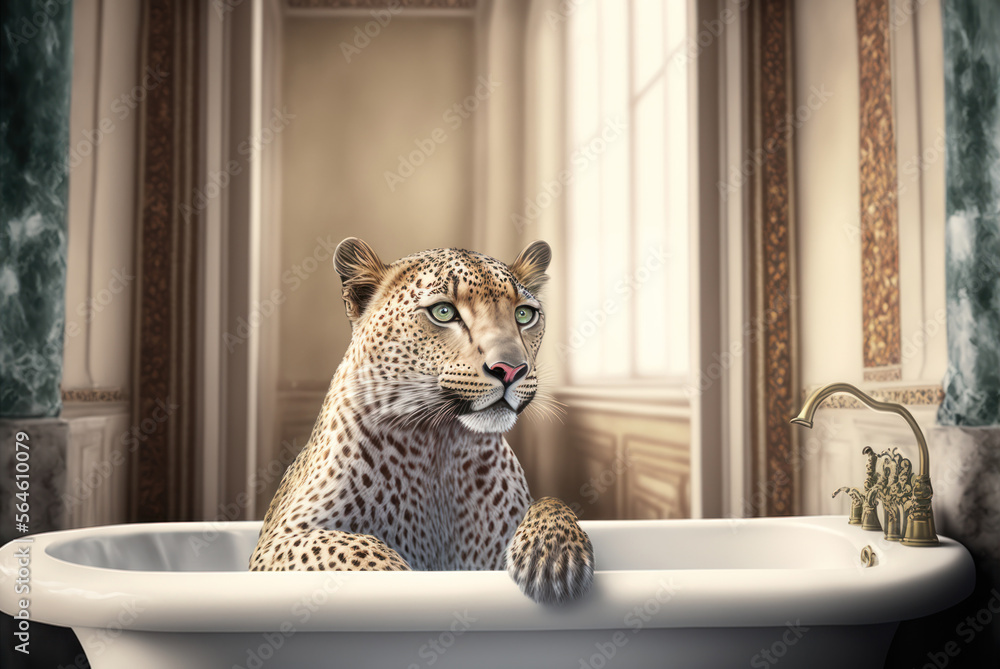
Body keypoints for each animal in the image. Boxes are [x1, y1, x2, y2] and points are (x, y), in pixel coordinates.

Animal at [249, 237, 594, 605]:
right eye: (443, 312)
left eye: (524, 314)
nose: (512, 370)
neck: (437, 444)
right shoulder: (277, 542)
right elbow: (359, 549)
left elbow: (549, 502)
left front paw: (554, 558)